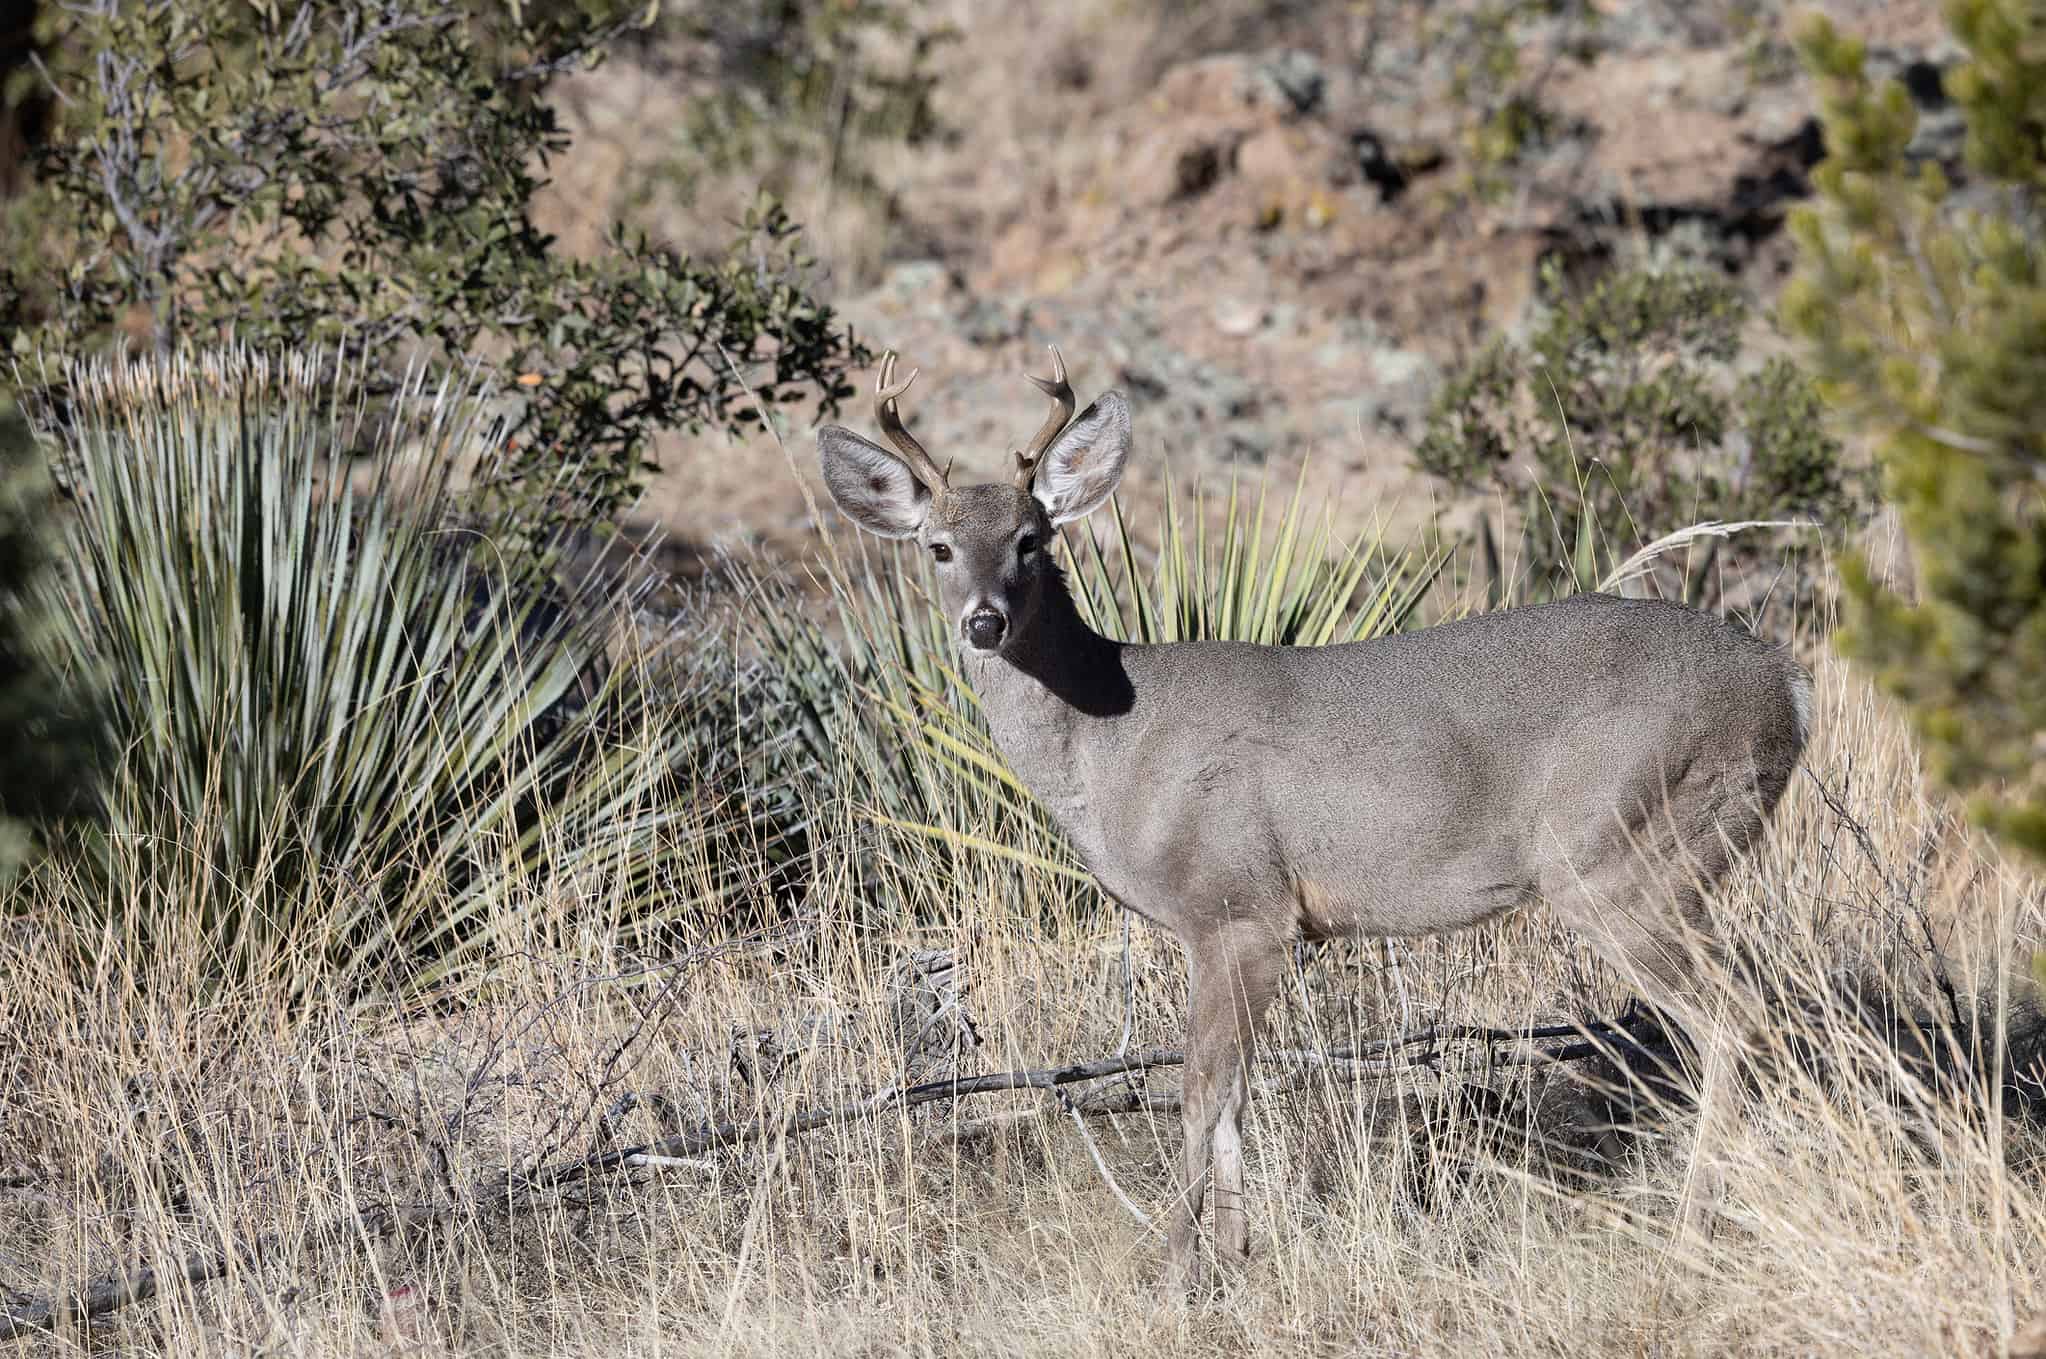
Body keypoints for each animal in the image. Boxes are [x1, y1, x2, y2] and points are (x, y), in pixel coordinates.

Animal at [815, 346, 1813, 1289]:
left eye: (1030, 539)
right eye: (938, 547)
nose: (983, 623)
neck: (1113, 744)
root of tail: (1785, 682)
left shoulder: (1239, 905)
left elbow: (1199, 1090)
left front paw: (1175, 1272)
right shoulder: (1241, 928)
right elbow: (1234, 1095)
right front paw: (1238, 1254)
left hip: (1623, 850)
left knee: (1738, 1018)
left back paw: (1691, 1236)